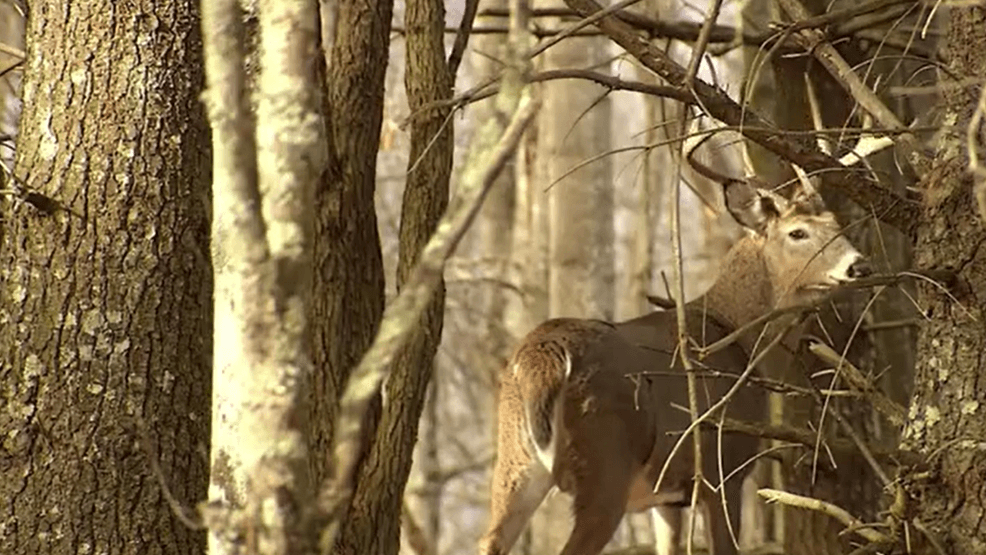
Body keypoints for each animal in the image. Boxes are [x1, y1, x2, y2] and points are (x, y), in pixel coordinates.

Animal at [478, 158, 872, 555]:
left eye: (837, 224)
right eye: (797, 233)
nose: (860, 266)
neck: (741, 341)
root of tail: (542, 353)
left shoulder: (665, 497)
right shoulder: (721, 470)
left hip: (514, 462)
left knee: (489, 538)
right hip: (606, 462)